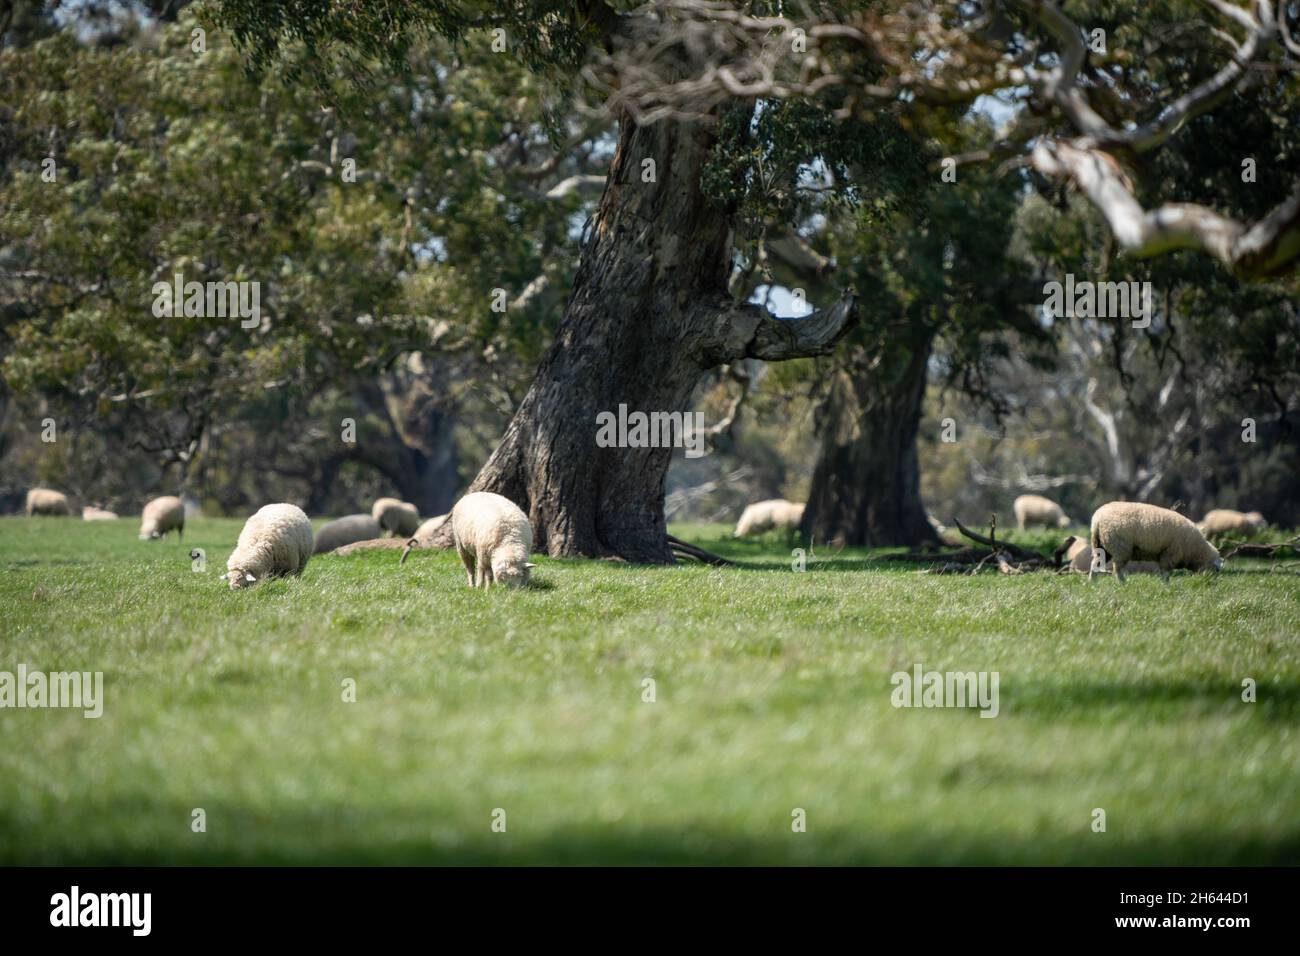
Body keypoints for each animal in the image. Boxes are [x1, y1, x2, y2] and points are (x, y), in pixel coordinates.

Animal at [1088, 501, 1222, 583]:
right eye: (1216, 570)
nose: (1210, 582)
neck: (1196, 551)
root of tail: (1097, 520)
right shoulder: (1170, 554)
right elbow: (1165, 573)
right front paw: (1166, 585)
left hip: (1101, 546)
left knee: (1095, 564)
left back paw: (1093, 582)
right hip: (1120, 548)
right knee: (1117, 569)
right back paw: (1122, 583)